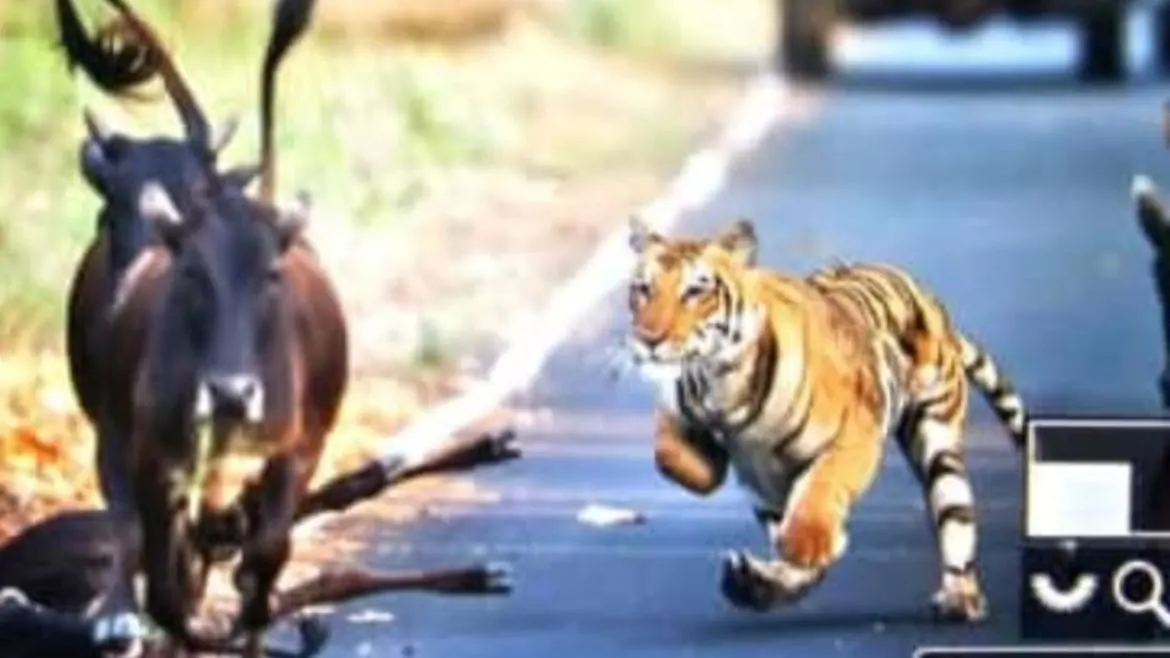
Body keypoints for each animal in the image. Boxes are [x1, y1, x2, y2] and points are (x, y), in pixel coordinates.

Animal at [623, 215, 1028, 621]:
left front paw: (810, 542)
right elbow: (670, 457)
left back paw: (960, 596)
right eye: (643, 290)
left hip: (937, 436)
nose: (647, 339)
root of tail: (930, 299)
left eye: (694, 292)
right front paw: (711, 464)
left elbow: (822, 488)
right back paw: (756, 584)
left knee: (954, 512)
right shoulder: (683, 412)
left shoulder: (856, 434)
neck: (724, 384)